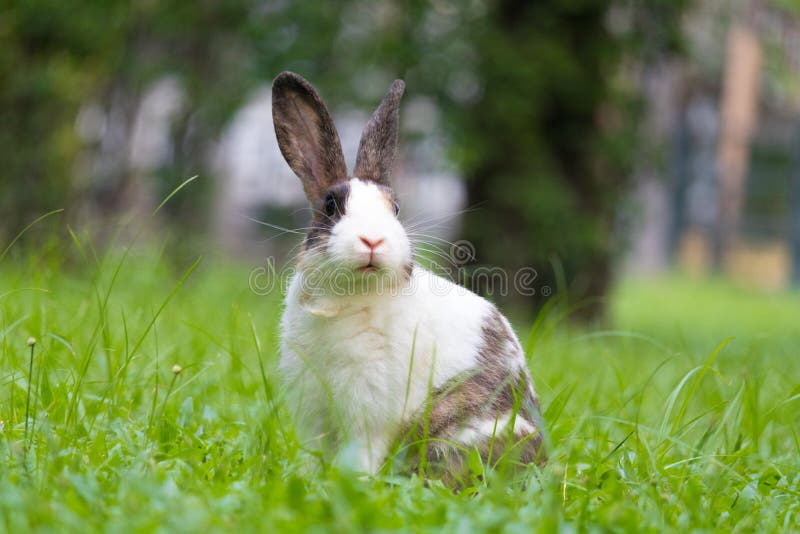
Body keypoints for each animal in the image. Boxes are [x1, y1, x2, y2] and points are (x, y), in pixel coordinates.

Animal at [272, 71, 545, 477]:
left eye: (396, 208)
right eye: (331, 206)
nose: (373, 239)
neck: (349, 296)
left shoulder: (369, 415)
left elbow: (362, 454)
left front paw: (354, 482)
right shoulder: (312, 411)